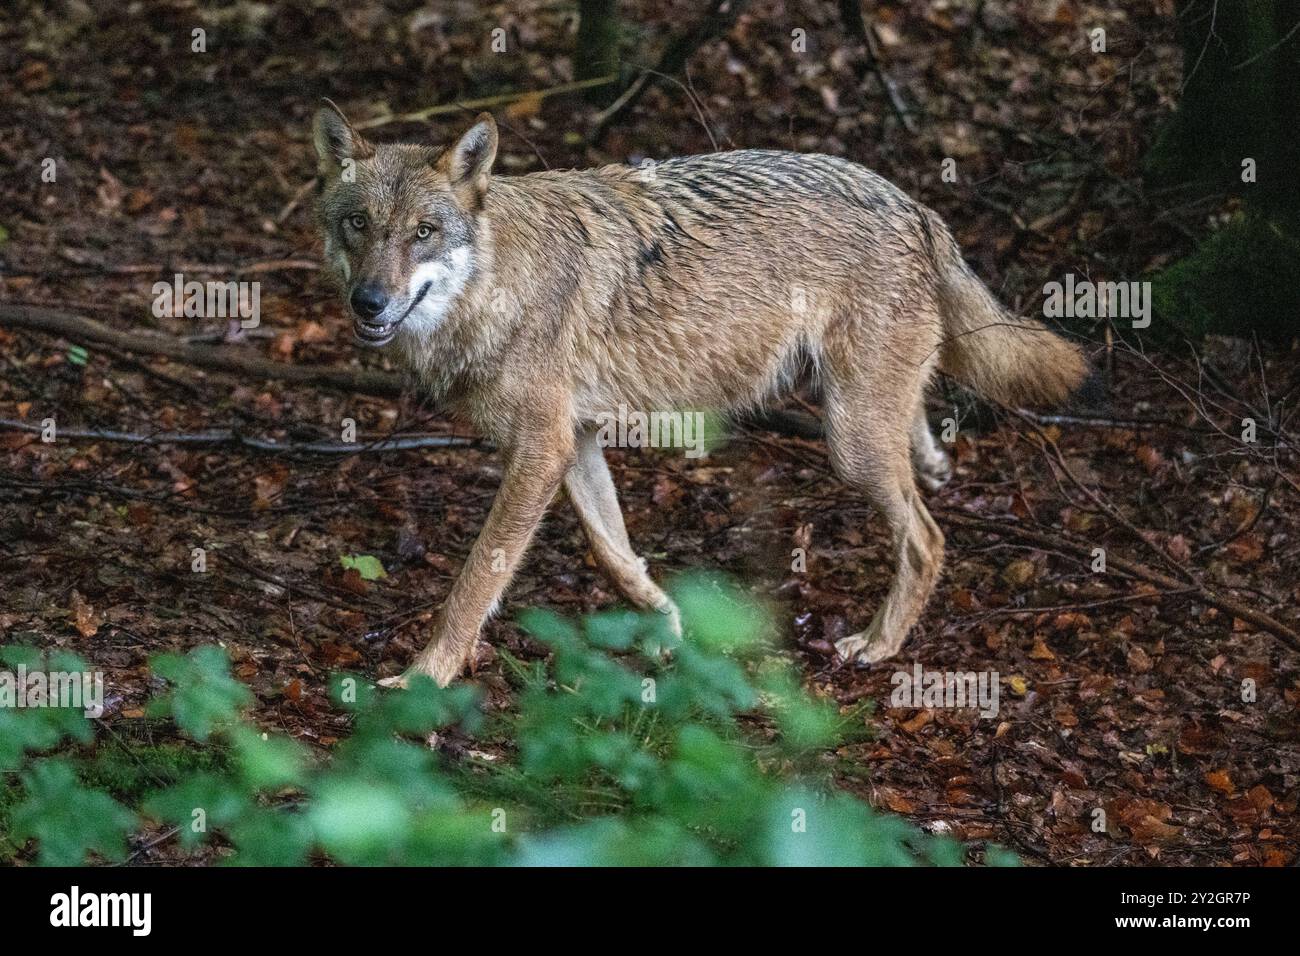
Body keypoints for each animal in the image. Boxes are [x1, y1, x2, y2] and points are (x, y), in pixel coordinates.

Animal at [312, 102, 1088, 687]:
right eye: (359, 225)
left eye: (423, 233)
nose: (368, 302)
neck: (500, 285)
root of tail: (916, 205)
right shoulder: (576, 442)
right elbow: (614, 555)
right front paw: (668, 624)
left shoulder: (539, 448)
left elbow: (476, 579)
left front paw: (424, 679)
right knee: (923, 455)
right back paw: (933, 463)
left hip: (848, 444)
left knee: (926, 541)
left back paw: (877, 645)